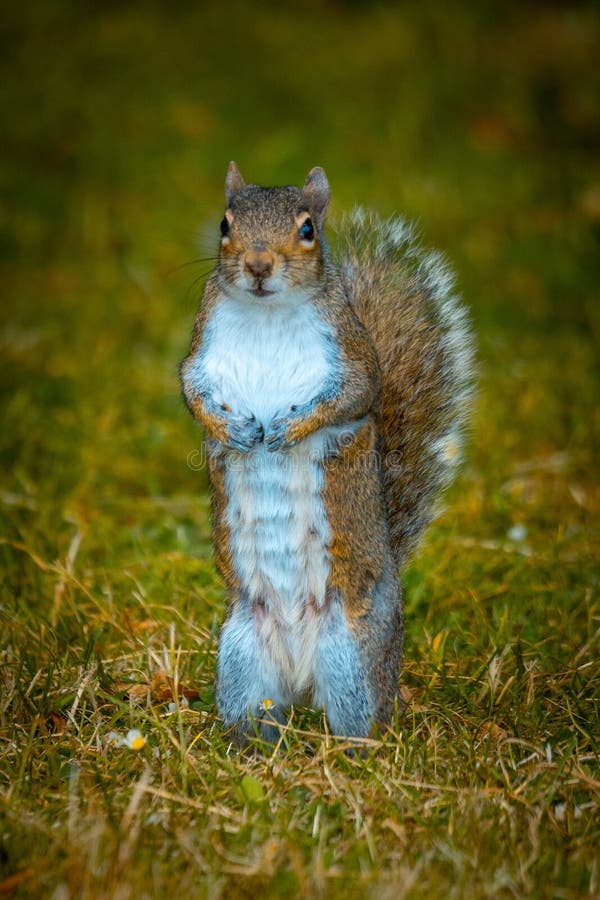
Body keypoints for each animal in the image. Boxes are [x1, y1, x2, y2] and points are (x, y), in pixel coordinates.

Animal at [180, 163, 474, 743]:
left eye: (308, 229)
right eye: (224, 224)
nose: (257, 265)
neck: (267, 314)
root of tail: (301, 675)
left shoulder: (352, 357)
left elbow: (353, 395)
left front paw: (290, 427)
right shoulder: (200, 355)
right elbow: (193, 395)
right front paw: (232, 430)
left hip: (353, 654)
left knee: (363, 718)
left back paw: (354, 751)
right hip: (241, 653)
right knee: (258, 714)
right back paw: (250, 750)